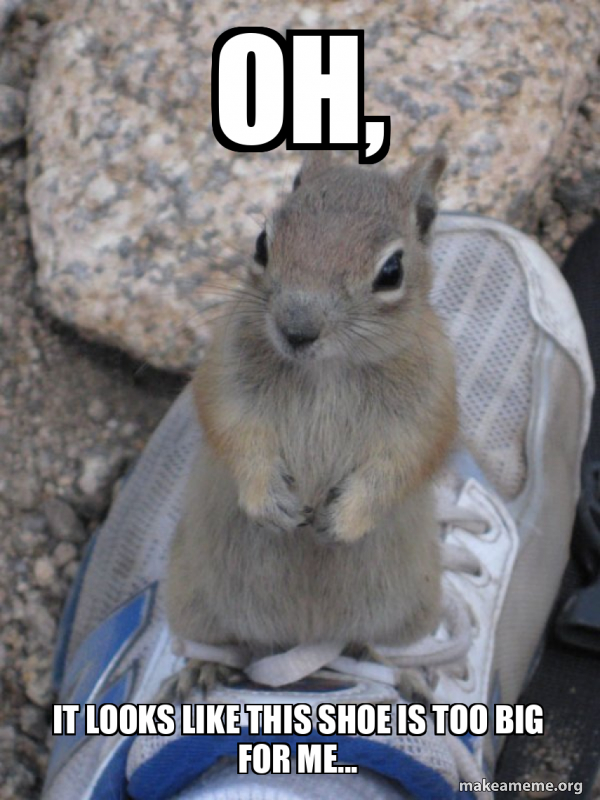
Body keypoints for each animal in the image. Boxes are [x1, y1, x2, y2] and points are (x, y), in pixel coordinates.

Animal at [165, 147, 458, 686]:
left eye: (392, 271)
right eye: (262, 242)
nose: (296, 329)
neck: (325, 370)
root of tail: (307, 633)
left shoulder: (429, 407)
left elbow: (401, 464)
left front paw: (344, 520)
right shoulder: (226, 378)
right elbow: (236, 434)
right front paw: (268, 501)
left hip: (415, 609)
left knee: (370, 642)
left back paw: (398, 675)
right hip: (188, 596)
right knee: (228, 645)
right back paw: (202, 669)